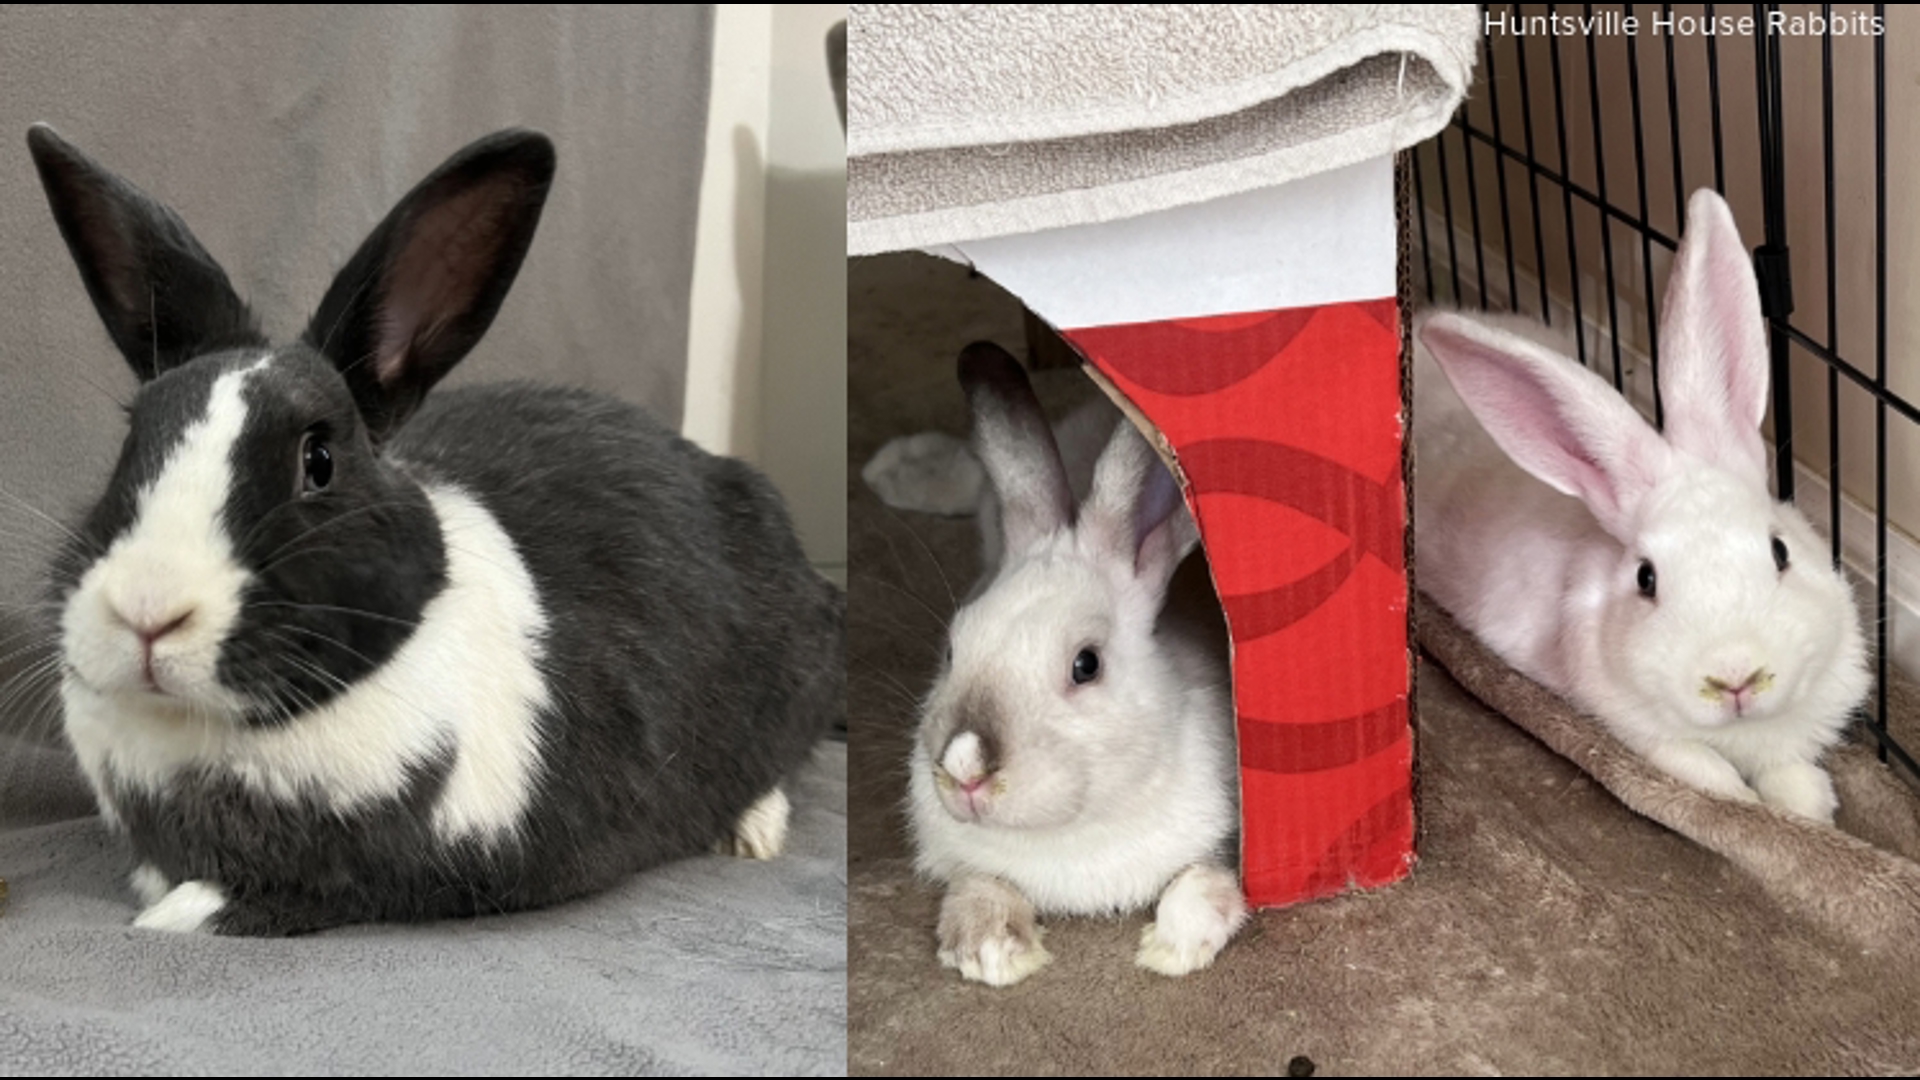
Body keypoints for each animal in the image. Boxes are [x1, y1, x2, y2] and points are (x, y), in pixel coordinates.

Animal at [28, 124, 844, 936]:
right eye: (131, 440)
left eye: (318, 460)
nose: (146, 611)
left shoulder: (393, 877)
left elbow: (232, 903)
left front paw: (162, 918)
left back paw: (751, 834)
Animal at [905, 342, 1246, 986]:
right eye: (952, 648)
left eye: (1086, 665)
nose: (965, 771)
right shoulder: (970, 861)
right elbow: (979, 889)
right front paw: (994, 955)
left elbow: (1200, 882)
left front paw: (1171, 951)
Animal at [1413, 187, 1869, 824]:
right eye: (1645, 579)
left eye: (1780, 551)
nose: (1735, 677)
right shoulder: (1647, 736)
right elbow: (1710, 778)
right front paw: (1747, 804)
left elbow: (1792, 778)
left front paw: (1809, 811)